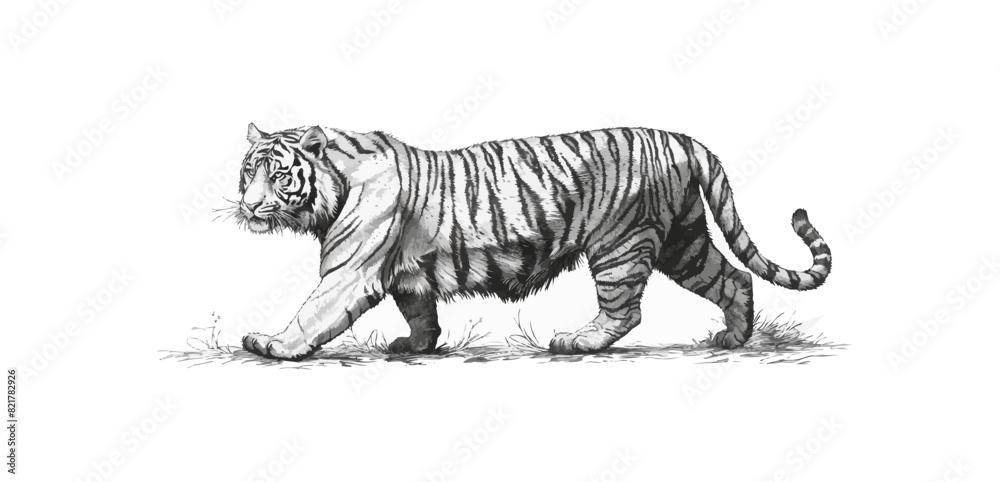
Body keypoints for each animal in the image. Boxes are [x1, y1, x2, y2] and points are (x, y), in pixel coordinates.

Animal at [234, 123, 831, 360]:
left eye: (277, 175)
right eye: (246, 173)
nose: (247, 206)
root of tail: (682, 138)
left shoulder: (349, 271)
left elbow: (313, 311)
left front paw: (274, 343)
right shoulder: (407, 272)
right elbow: (420, 309)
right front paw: (416, 345)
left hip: (620, 244)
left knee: (625, 310)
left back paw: (577, 340)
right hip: (684, 241)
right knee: (735, 277)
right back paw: (733, 338)